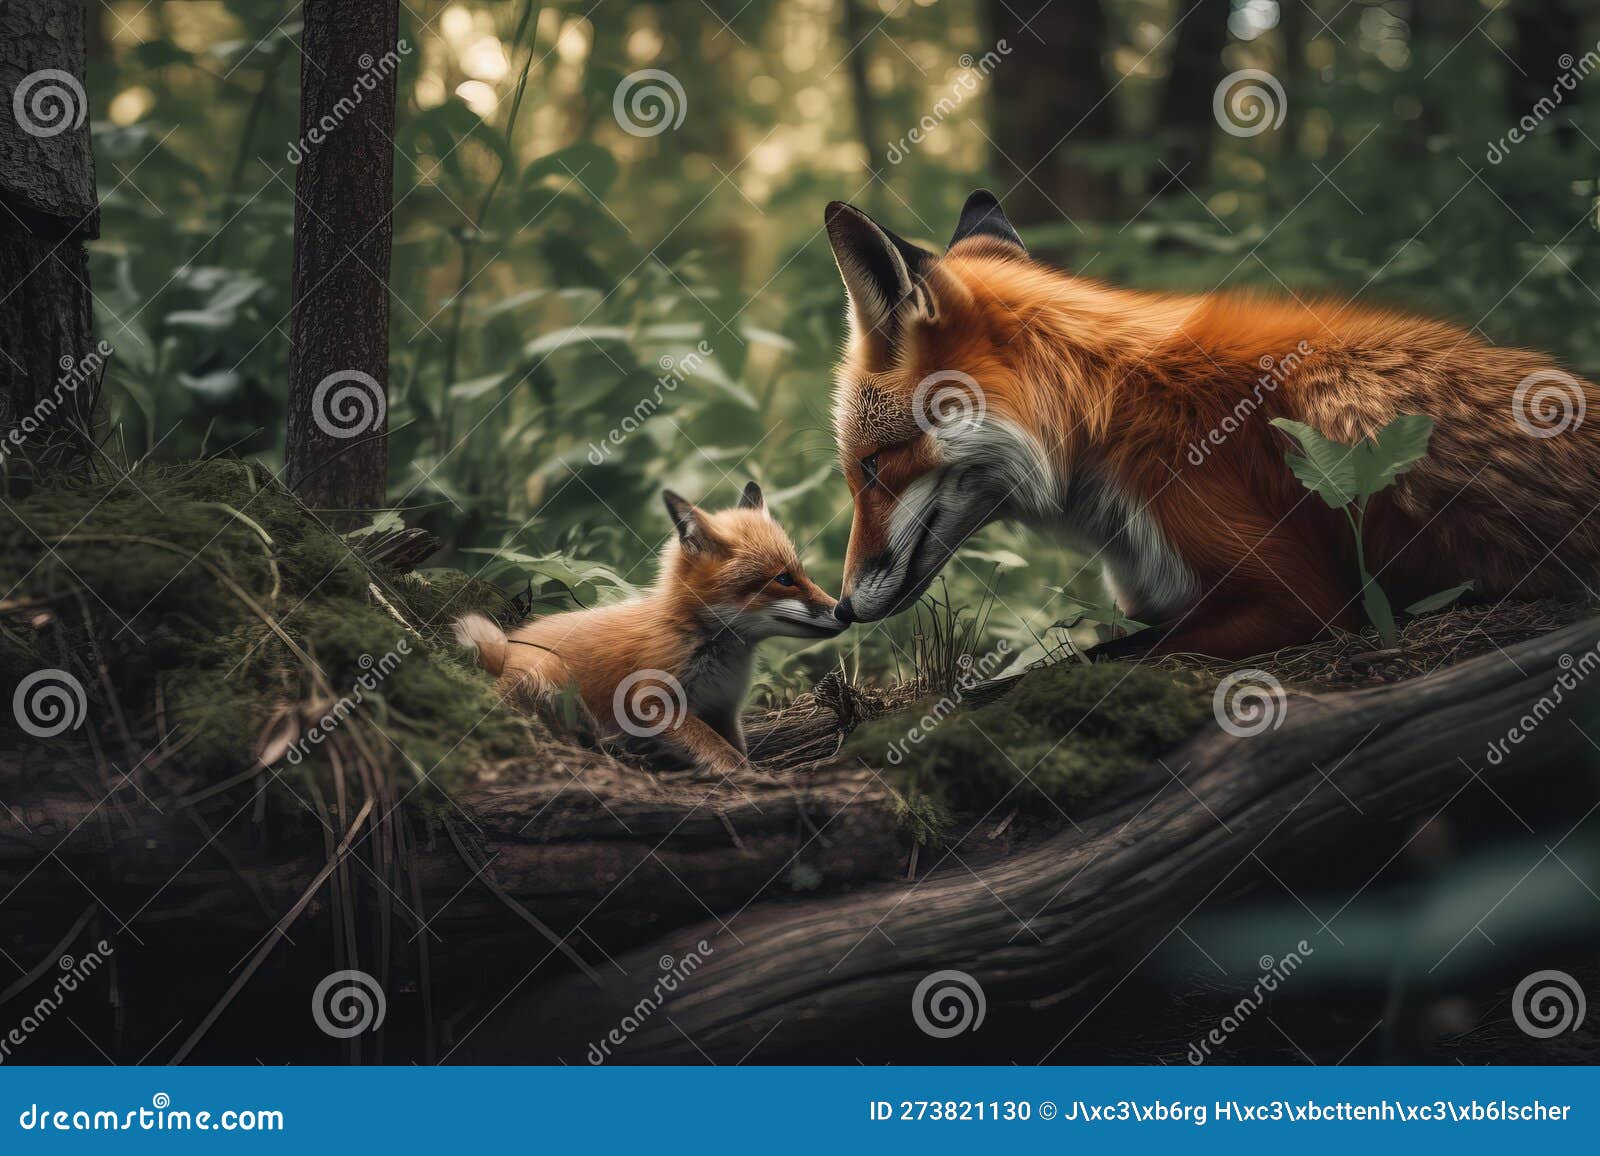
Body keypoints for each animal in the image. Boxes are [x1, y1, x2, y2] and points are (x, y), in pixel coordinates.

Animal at [453, 482, 845, 773]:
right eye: (784, 579)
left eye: (803, 573)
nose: (843, 611)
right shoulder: (651, 702)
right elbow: (728, 757)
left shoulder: (724, 710)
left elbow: (737, 749)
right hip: (553, 672)